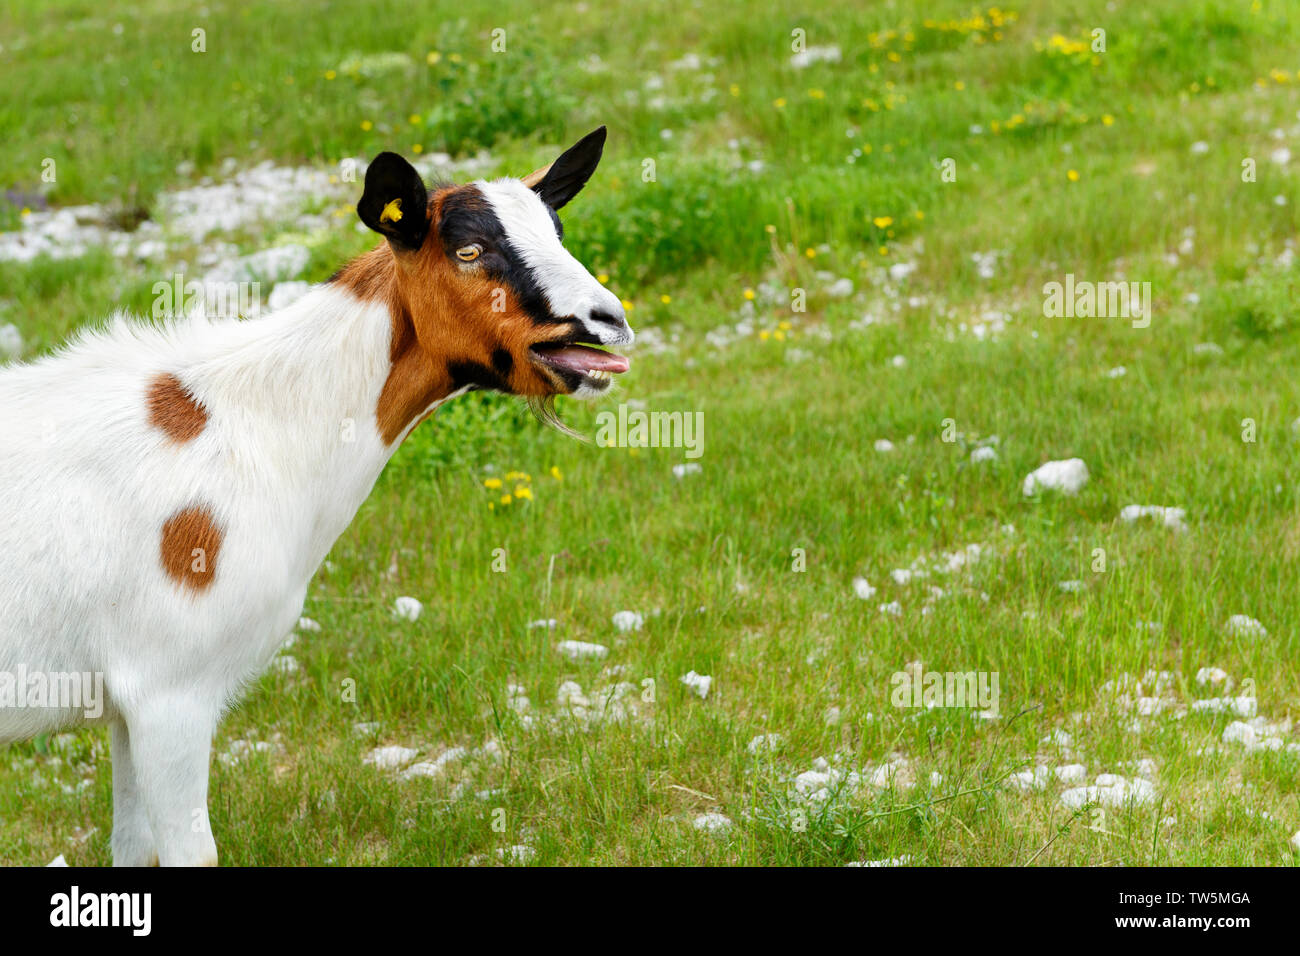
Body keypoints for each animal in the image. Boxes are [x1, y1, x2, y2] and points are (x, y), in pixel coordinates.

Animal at [0, 127, 633, 865]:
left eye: (556, 230)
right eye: (469, 251)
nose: (608, 320)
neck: (253, 423)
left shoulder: (127, 699)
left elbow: (133, 846)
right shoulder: (170, 687)